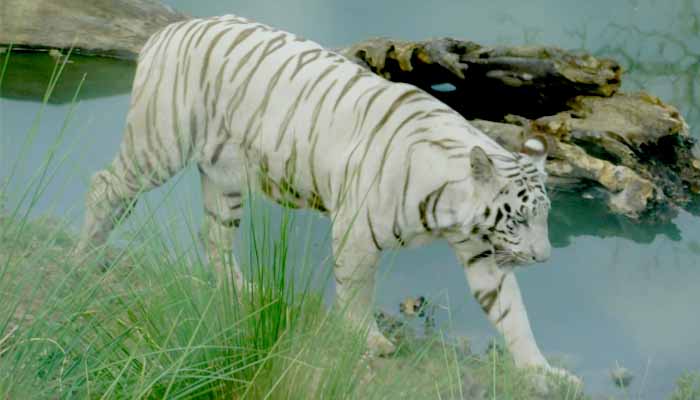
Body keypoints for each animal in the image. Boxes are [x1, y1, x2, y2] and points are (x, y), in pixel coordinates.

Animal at [74, 14, 579, 385]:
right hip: (159, 145)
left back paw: (240, 288)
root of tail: (167, 30)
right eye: (518, 220)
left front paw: (543, 372)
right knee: (103, 185)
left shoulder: (482, 252)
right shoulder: (356, 233)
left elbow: (512, 314)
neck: (452, 212)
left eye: (543, 219)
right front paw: (369, 339)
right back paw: (86, 256)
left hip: (224, 177)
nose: (544, 257)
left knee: (213, 234)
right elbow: (356, 292)